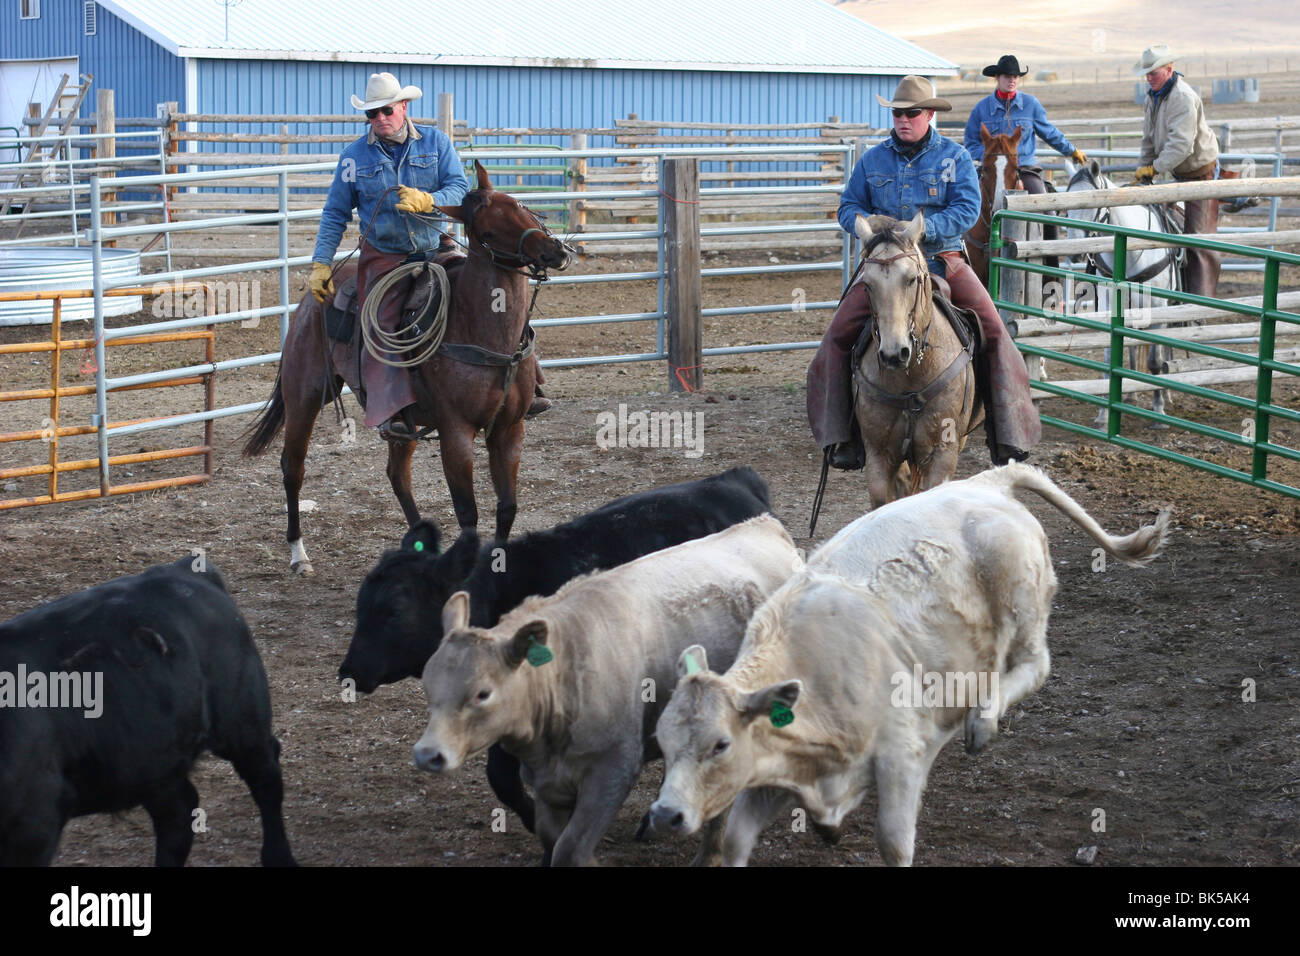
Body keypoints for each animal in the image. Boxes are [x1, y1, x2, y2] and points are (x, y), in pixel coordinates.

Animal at [0, 559, 295, 867]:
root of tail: (181, 569)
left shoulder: (34, 824)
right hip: (153, 761)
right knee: (179, 813)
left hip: (240, 722)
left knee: (265, 778)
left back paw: (279, 856)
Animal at [413, 514, 800, 866]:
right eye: (428, 686)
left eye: (482, 693)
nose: (427, 754)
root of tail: (764, 525)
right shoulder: (546, 781)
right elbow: (553, 838)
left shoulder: (613, 770)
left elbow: (570, 848)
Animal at [649, 463, 1171, 866]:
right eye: (663, 741)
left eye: (720, 744)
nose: (664, 815)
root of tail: (986, 482)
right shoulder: (770, 771)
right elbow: (736, 841)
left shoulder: (901, 756)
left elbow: (894, 843)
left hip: (1022, 599)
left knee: (1033, 664)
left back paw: (983, 720)